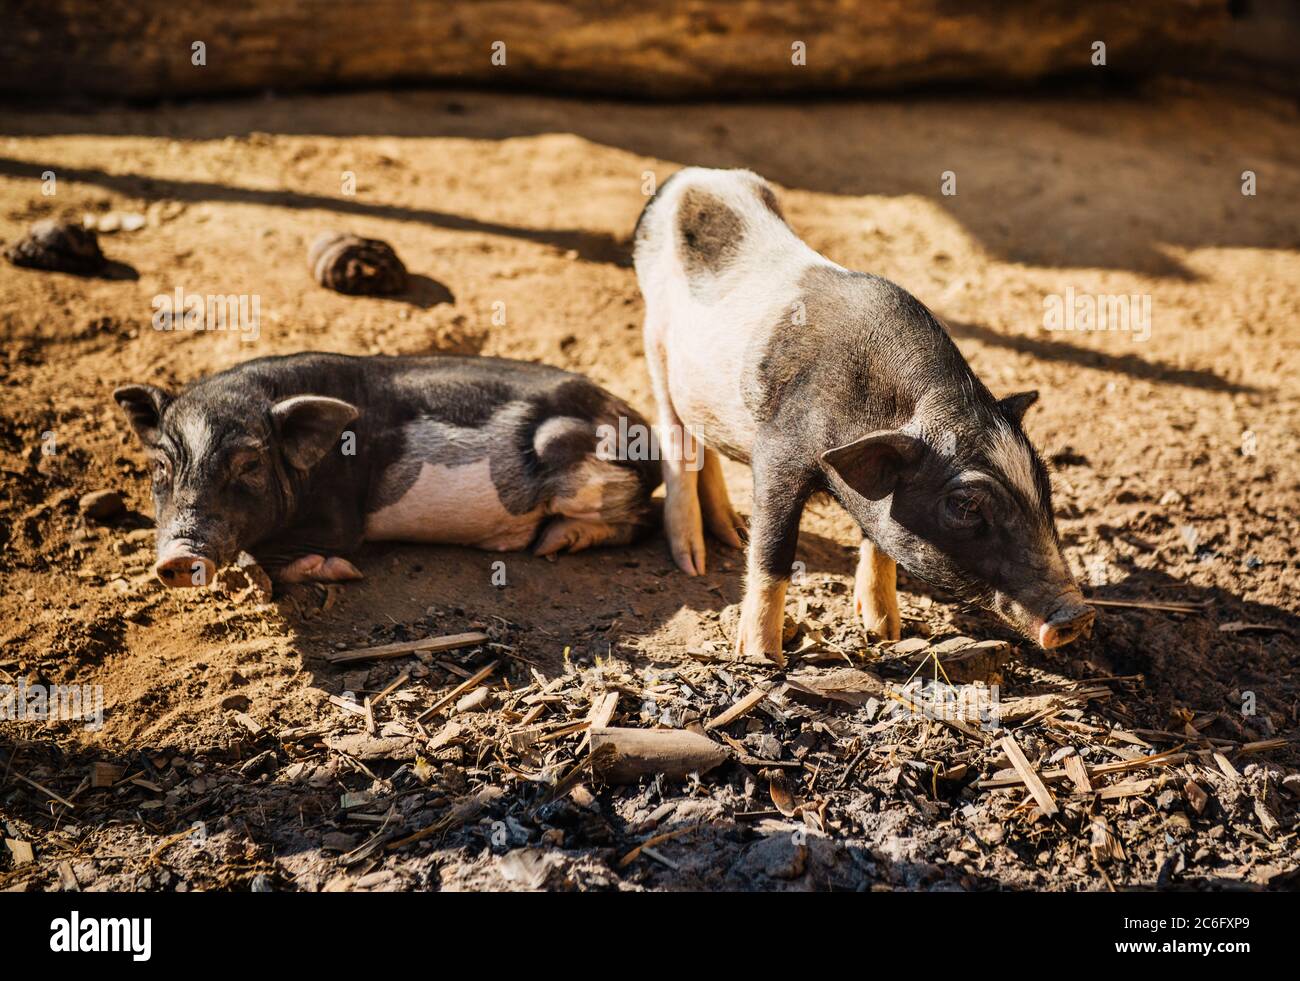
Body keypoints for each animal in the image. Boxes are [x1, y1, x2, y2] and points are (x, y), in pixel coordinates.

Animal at [113, 353, 659, 588]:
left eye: (247, 465)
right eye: (160, 466)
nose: (179, 557)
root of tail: (648, 435)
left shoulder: (339, 517)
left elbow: (286, 552)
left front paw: (342, 572)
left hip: (573, 455)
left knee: (637, 522)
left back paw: (552, 544)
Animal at [633, 167, 1094, 664]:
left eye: (1045, 487)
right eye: (965, 506)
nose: (1078, 613)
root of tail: (690, 176)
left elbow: (879, 542)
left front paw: (885, 632)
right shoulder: (777, 452)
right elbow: (773, 552)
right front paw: (762, 657)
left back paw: (733, 532)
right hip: (654, 339)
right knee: (675, 434)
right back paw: (694, 562)